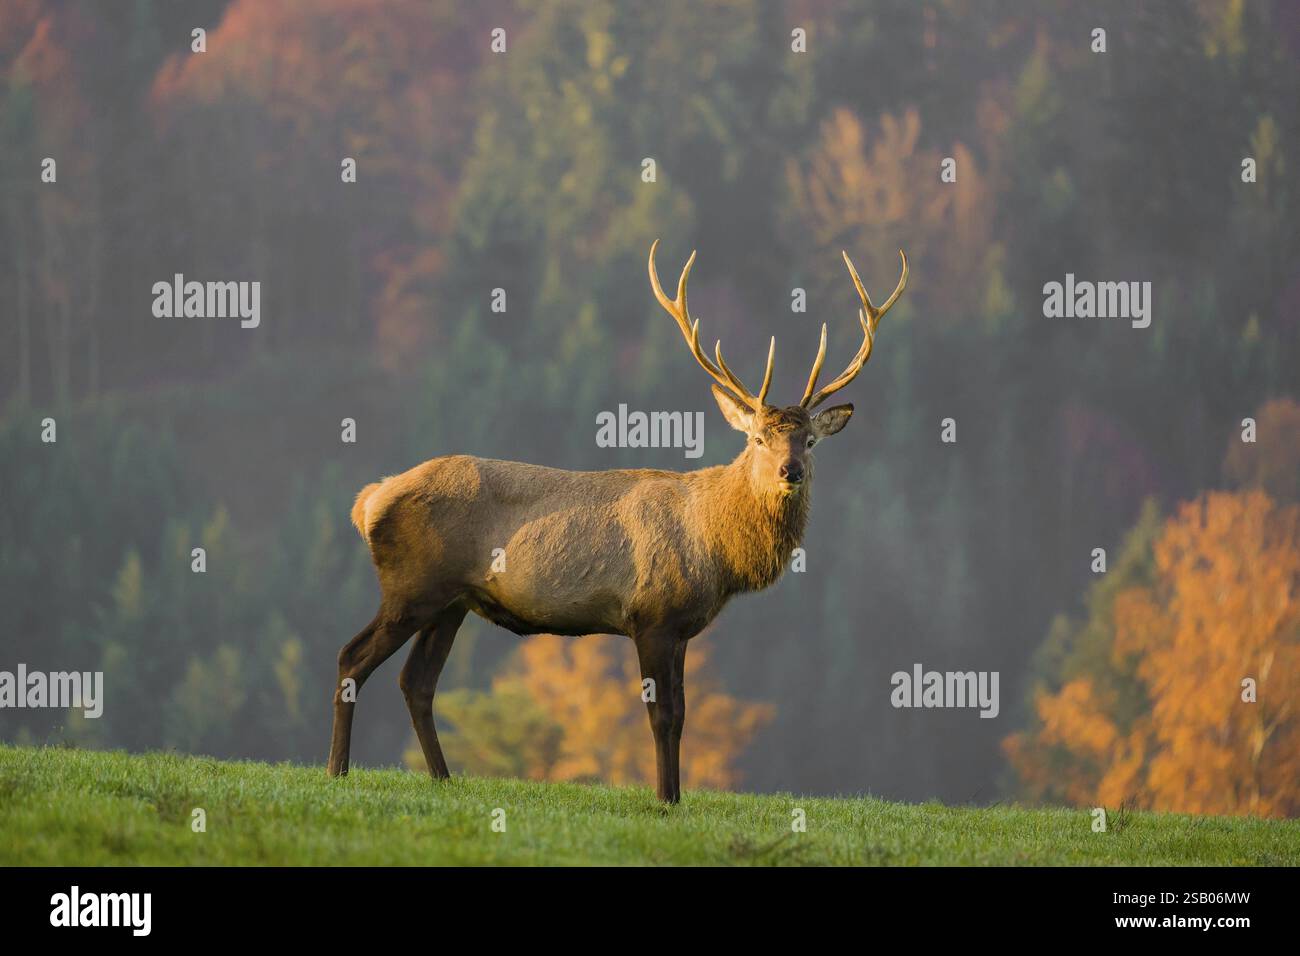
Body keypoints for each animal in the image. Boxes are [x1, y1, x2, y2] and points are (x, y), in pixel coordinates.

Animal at [327, 240, 907, 803]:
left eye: (809, 440)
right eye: (759, 438)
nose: (791, 472)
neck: (716, 551)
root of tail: (369, 500)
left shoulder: (681, 628)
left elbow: (683, 715)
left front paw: (676, 797)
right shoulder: (651, 615)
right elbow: (662, 716)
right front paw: (665, 799)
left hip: (452, 602)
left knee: (416, 682)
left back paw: (443, 779)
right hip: (412, 586)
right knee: (353, 657)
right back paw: (337, 770)